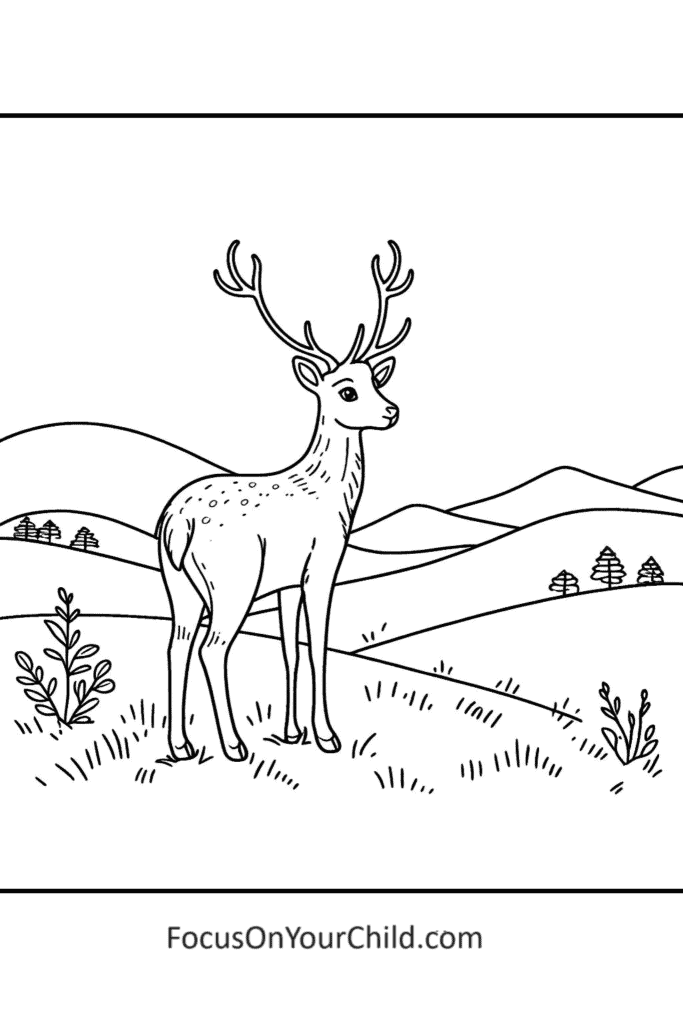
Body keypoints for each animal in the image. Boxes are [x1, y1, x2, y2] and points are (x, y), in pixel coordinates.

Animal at [158, 239, 414, 762]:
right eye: (347, 390)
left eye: (377, 381)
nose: (392, 411)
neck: (333, 496)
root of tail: (177, 524)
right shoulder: (322, 565)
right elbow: (317, 645)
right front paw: (328, 736)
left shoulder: (285, 583)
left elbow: (289, 649)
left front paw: (294, 732)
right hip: (231, 580)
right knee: (213, 647)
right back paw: (233, 745)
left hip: (179, 585)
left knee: (176, 645)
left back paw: (182, 744)